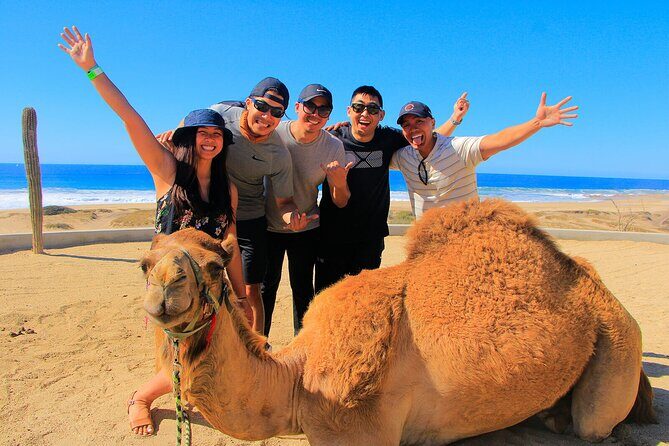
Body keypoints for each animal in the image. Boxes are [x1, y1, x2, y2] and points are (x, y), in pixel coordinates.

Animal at [140, 199, 656, 445]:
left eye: (213, 266)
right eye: (145, 264)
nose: (166, 289)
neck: (297, 380)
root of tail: (590, 282)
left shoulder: (359, 428)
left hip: (618, 338)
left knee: (593, 424)